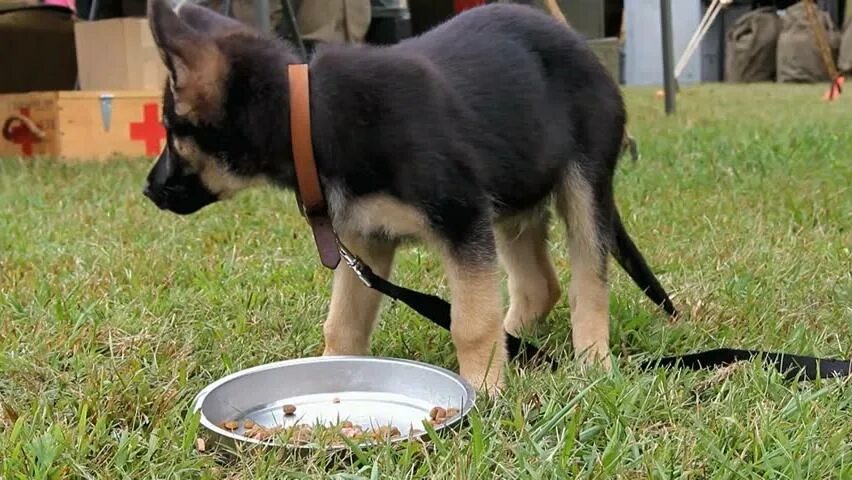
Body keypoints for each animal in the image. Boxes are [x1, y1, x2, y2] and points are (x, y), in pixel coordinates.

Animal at [143, 0, 676, 394]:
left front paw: (483, 392)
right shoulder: (367, 240)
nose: (149, 189)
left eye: (171, 131)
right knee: (539, 285)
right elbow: (343, 324)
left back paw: (592, 361)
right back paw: (519, 345)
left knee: (590, 280)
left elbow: (470, 321)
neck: (312, 116)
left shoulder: (462, 222)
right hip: (511, 202)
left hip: (582, 186)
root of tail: (585, 49)